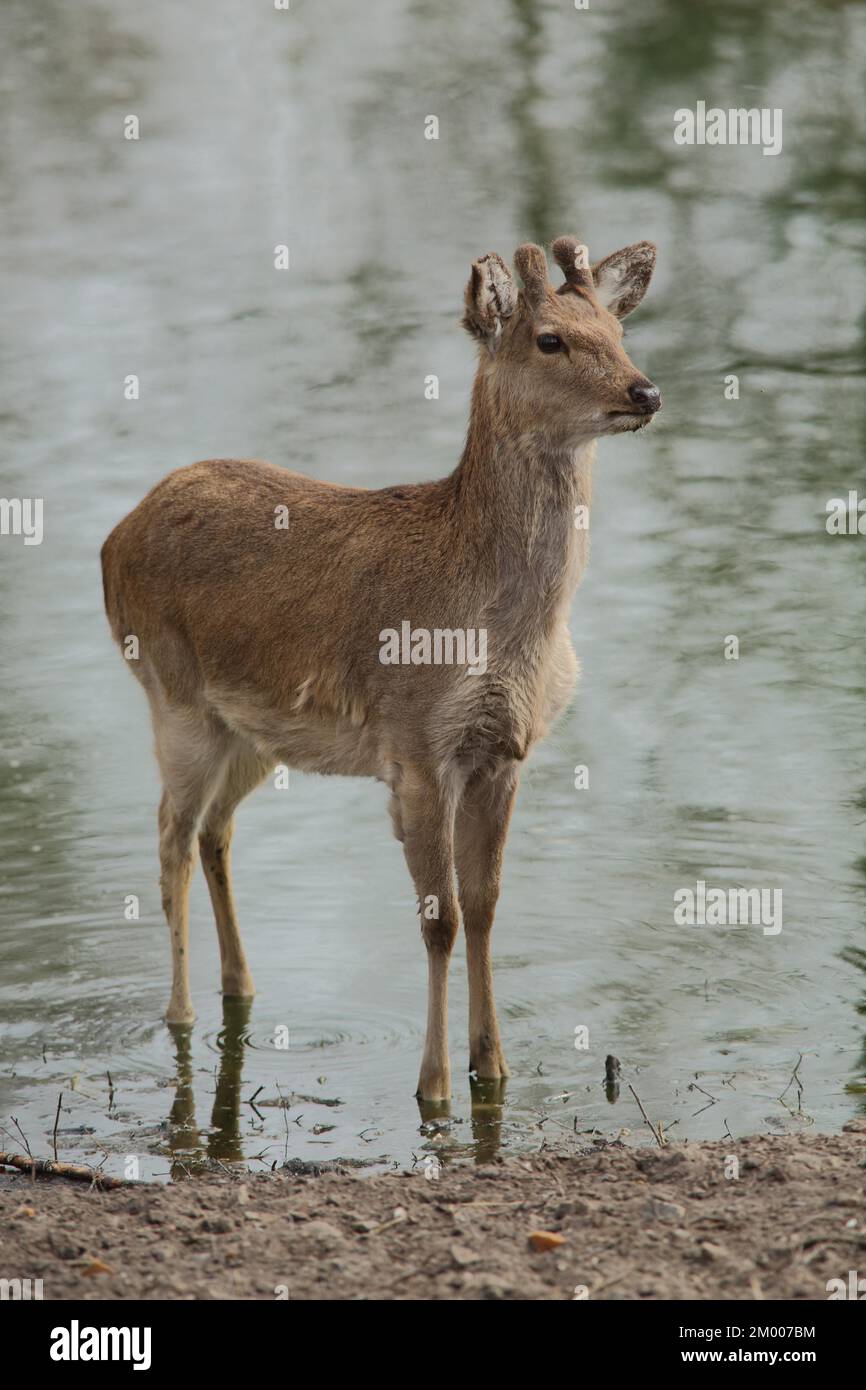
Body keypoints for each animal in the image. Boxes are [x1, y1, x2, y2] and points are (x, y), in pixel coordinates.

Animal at [101, 235, 660, 1102]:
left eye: (617, 328)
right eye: (551, 340)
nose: (646, 390)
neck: (501, 631)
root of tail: (113, 539)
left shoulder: (505, 752)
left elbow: (487, 903)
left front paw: (493, 1066)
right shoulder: (417, 747)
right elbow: (442, 918)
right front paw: (433, 1085)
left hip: (252, 732)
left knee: (216, 831)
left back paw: (242, 988)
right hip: (174, 698)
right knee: (169, 838)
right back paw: (182, 1011)